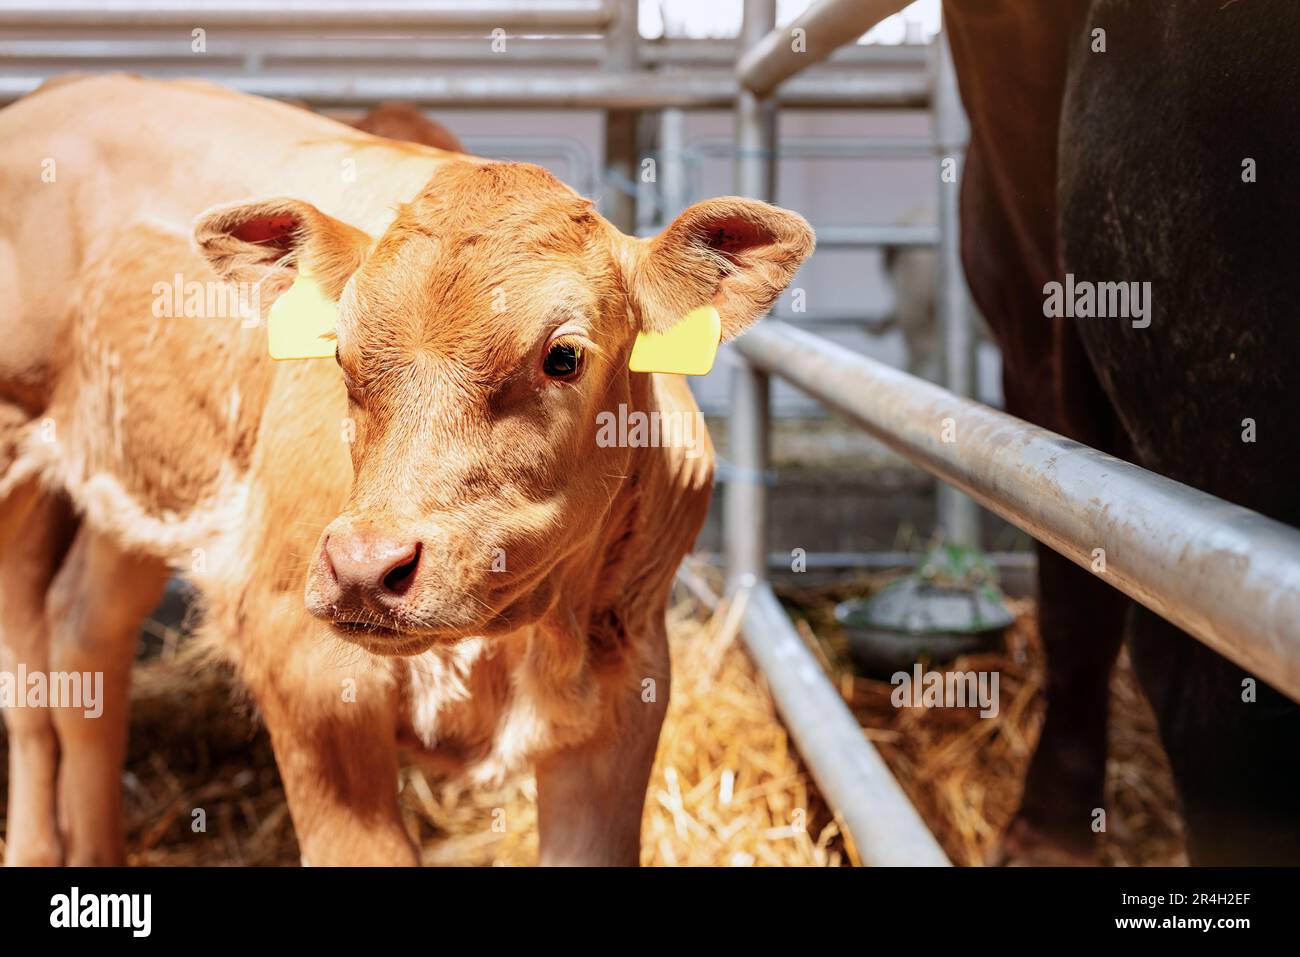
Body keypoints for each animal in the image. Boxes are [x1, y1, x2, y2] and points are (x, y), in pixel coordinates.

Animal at [0, 73, 813, 866]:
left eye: (564, 355)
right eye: (337, 352)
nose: (364, 567)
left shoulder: (625, 688)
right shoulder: (306, 674)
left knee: (81, 633)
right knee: (27, 677)